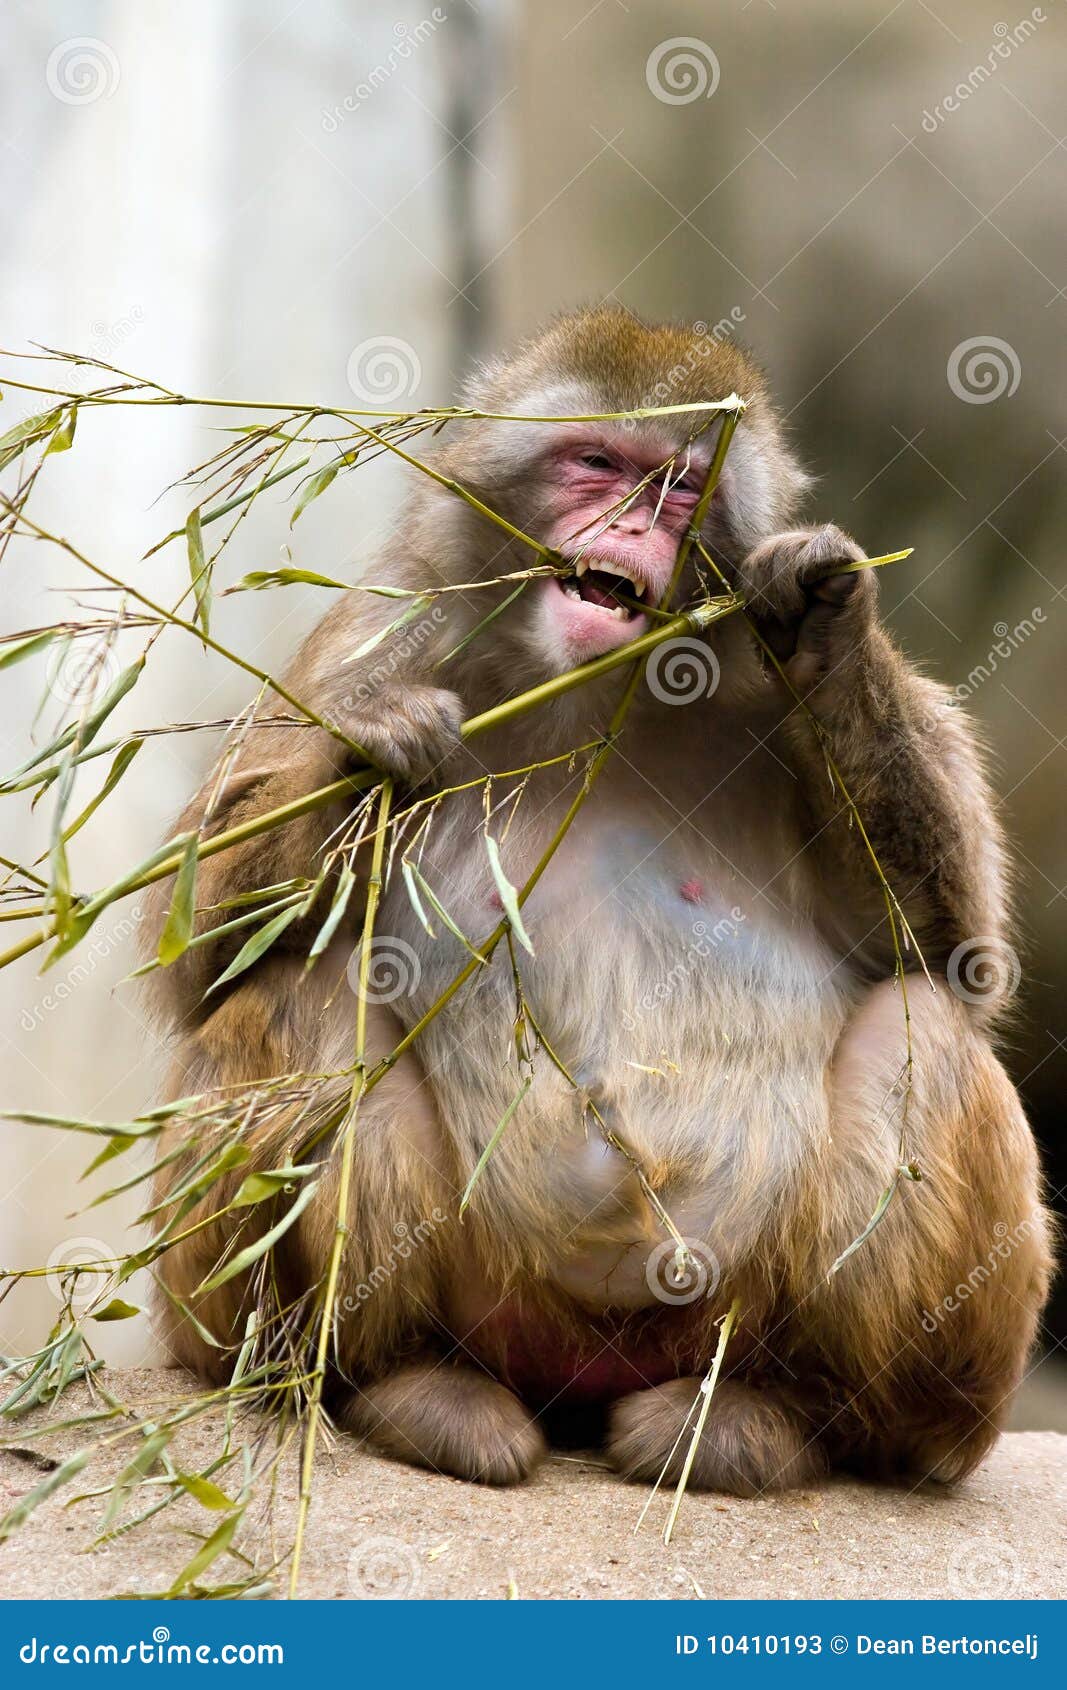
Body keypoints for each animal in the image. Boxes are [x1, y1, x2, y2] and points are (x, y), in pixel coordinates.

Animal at [149, 307, 1051, 1497]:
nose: (630, 525)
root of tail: (583, 1366)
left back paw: (792, 1419)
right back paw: (388, 1382)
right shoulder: (379, 631)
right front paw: (368, 755)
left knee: (924, 1032)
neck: (586, 691)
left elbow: (949, 957)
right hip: (445, 1297)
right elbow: (198, 957)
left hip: (736, 1316)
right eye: (598, 465)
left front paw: (827, 622)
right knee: (302, 994)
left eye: (677, 489)